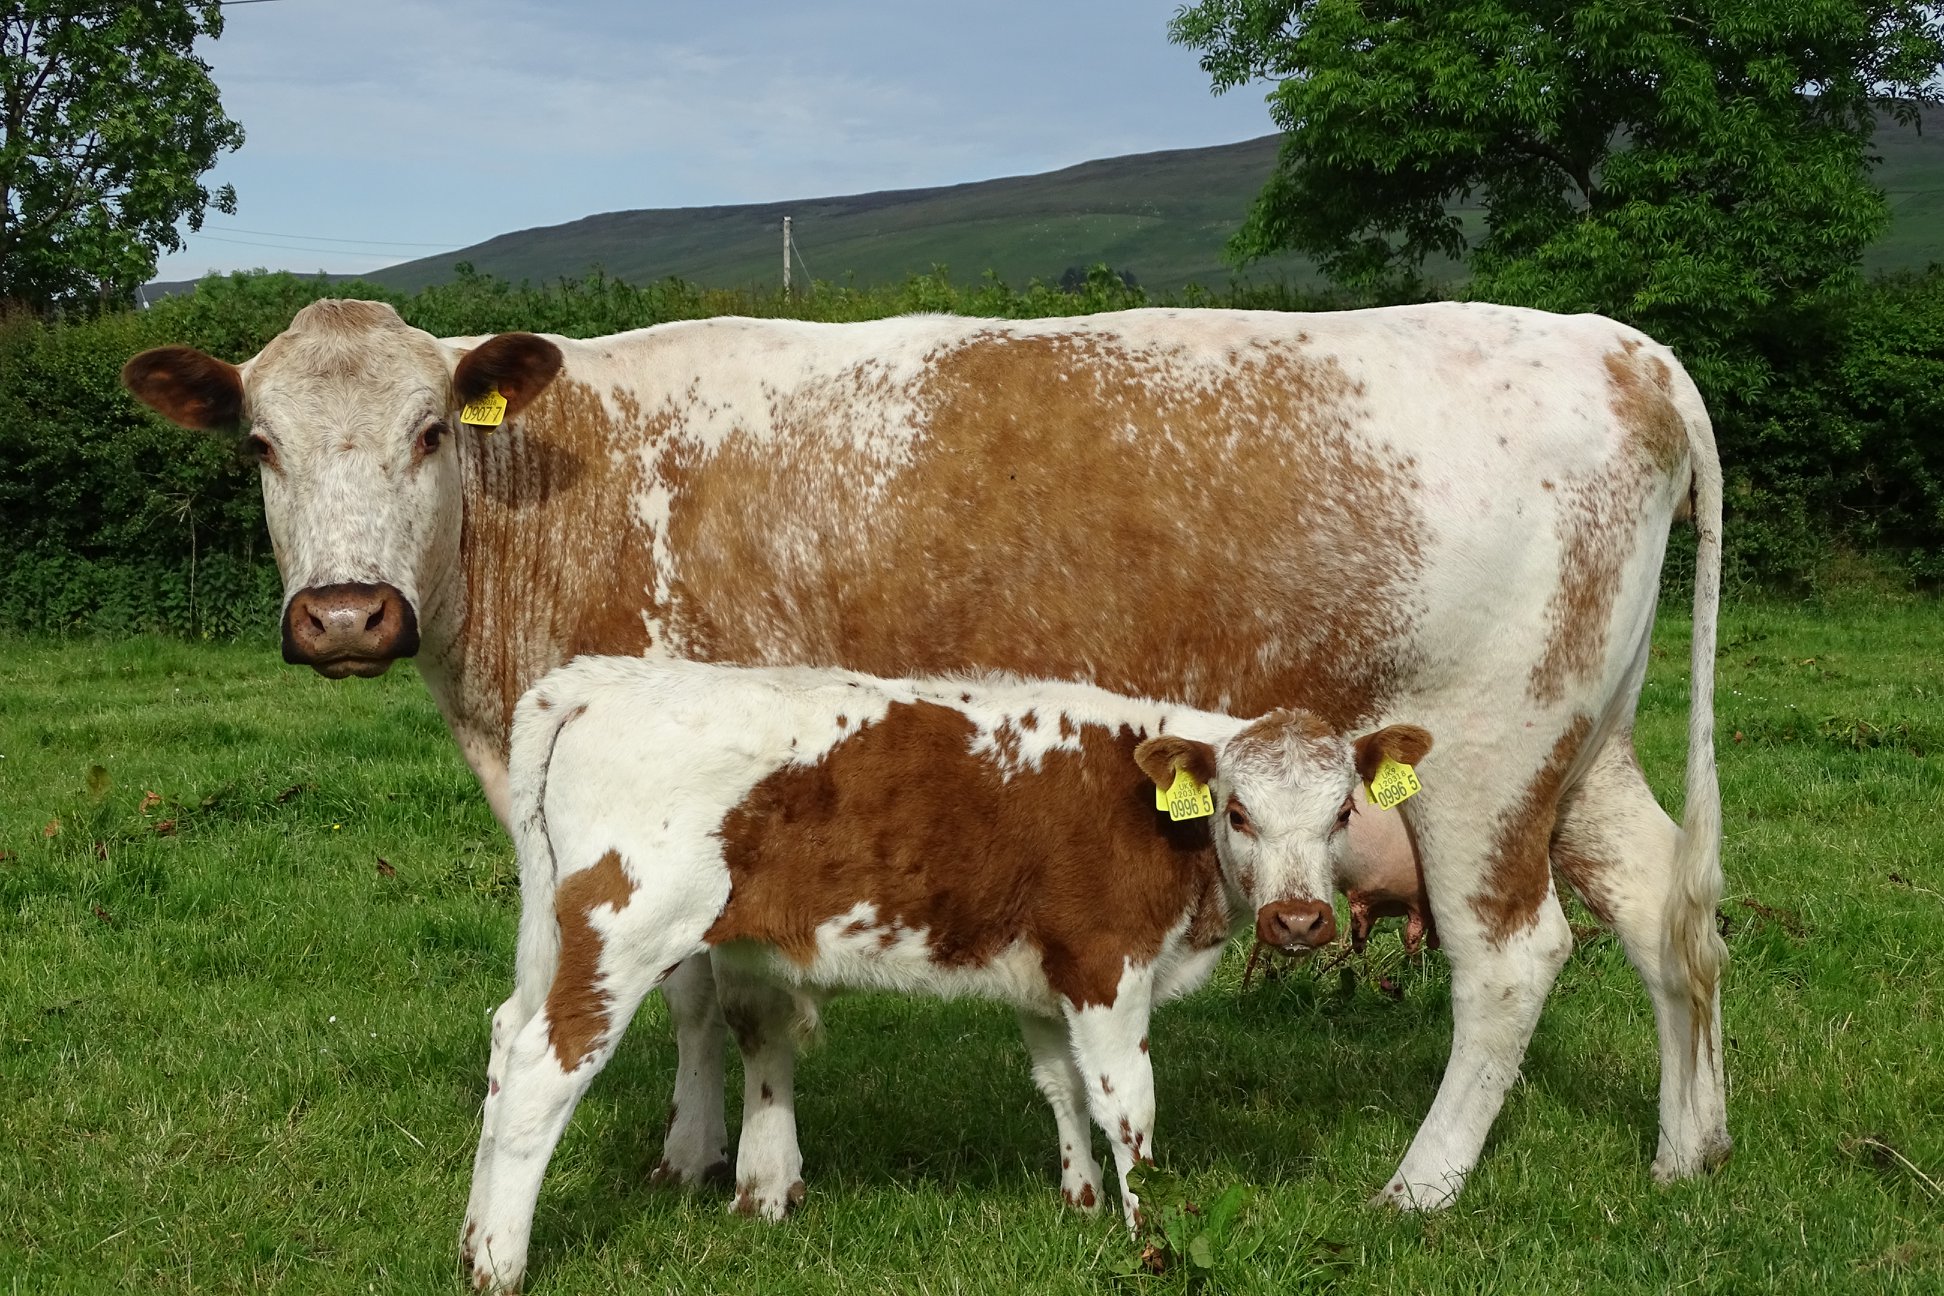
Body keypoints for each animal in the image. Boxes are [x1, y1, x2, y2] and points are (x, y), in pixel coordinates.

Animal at [123, 297, 1728, 1221]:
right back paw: (1687, 1151)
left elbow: (741, 997)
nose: (345, 614)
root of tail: (1625, 345)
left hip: (1489, 752)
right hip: (1589, 742)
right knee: (1673, 913)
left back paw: (1423, 1184)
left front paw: (756, 1174)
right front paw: (690, 1152)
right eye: (259, 443)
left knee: (1513, 957)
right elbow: (692, 994)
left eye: (427, 433)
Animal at [459, 655, 1436, 1290]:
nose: (1299, 920)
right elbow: (1130, 1105)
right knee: (543, 1072)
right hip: (623, 932)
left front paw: (1082, 1203)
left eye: (1343, 812)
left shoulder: (1048, 973)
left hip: (560, 931)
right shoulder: (1106, 965)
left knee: (505, 1043)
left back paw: (471, 1240)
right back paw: (502, 1264)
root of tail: (601, 678)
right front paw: (1149, 1235)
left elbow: (1062, 1086)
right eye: (1236, 813)